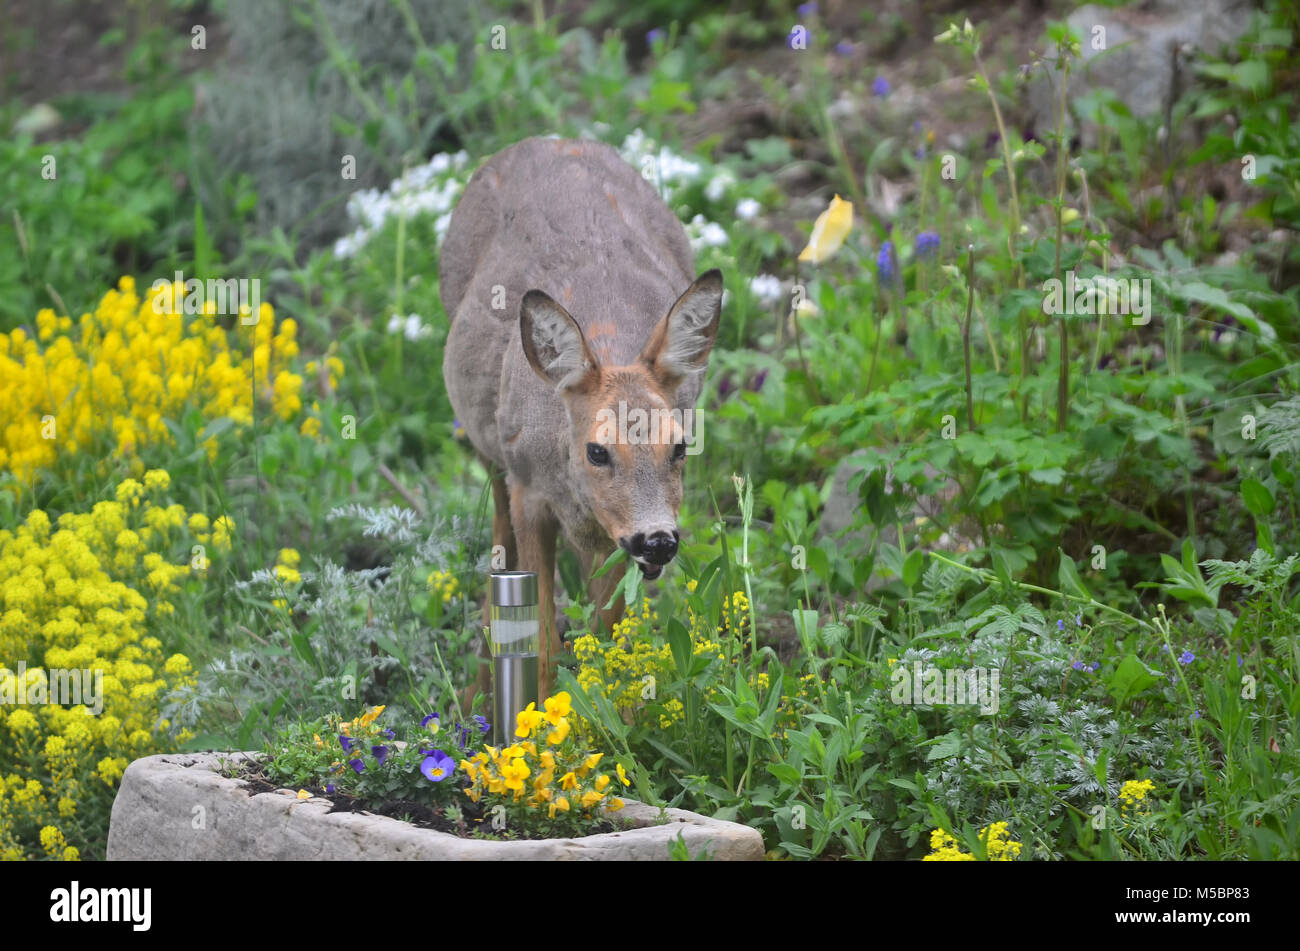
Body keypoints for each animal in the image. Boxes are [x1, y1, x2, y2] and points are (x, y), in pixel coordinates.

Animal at [440, 136, 723, 707]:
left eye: (681, 446)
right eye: (597, 450)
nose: (658, 541)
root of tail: (547, 139)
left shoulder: (610, 537)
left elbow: (611, 638)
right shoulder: (530, 492)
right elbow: (544, 640)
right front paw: (539, 719)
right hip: (491, 451)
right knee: (496, 542)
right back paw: (475, 691)